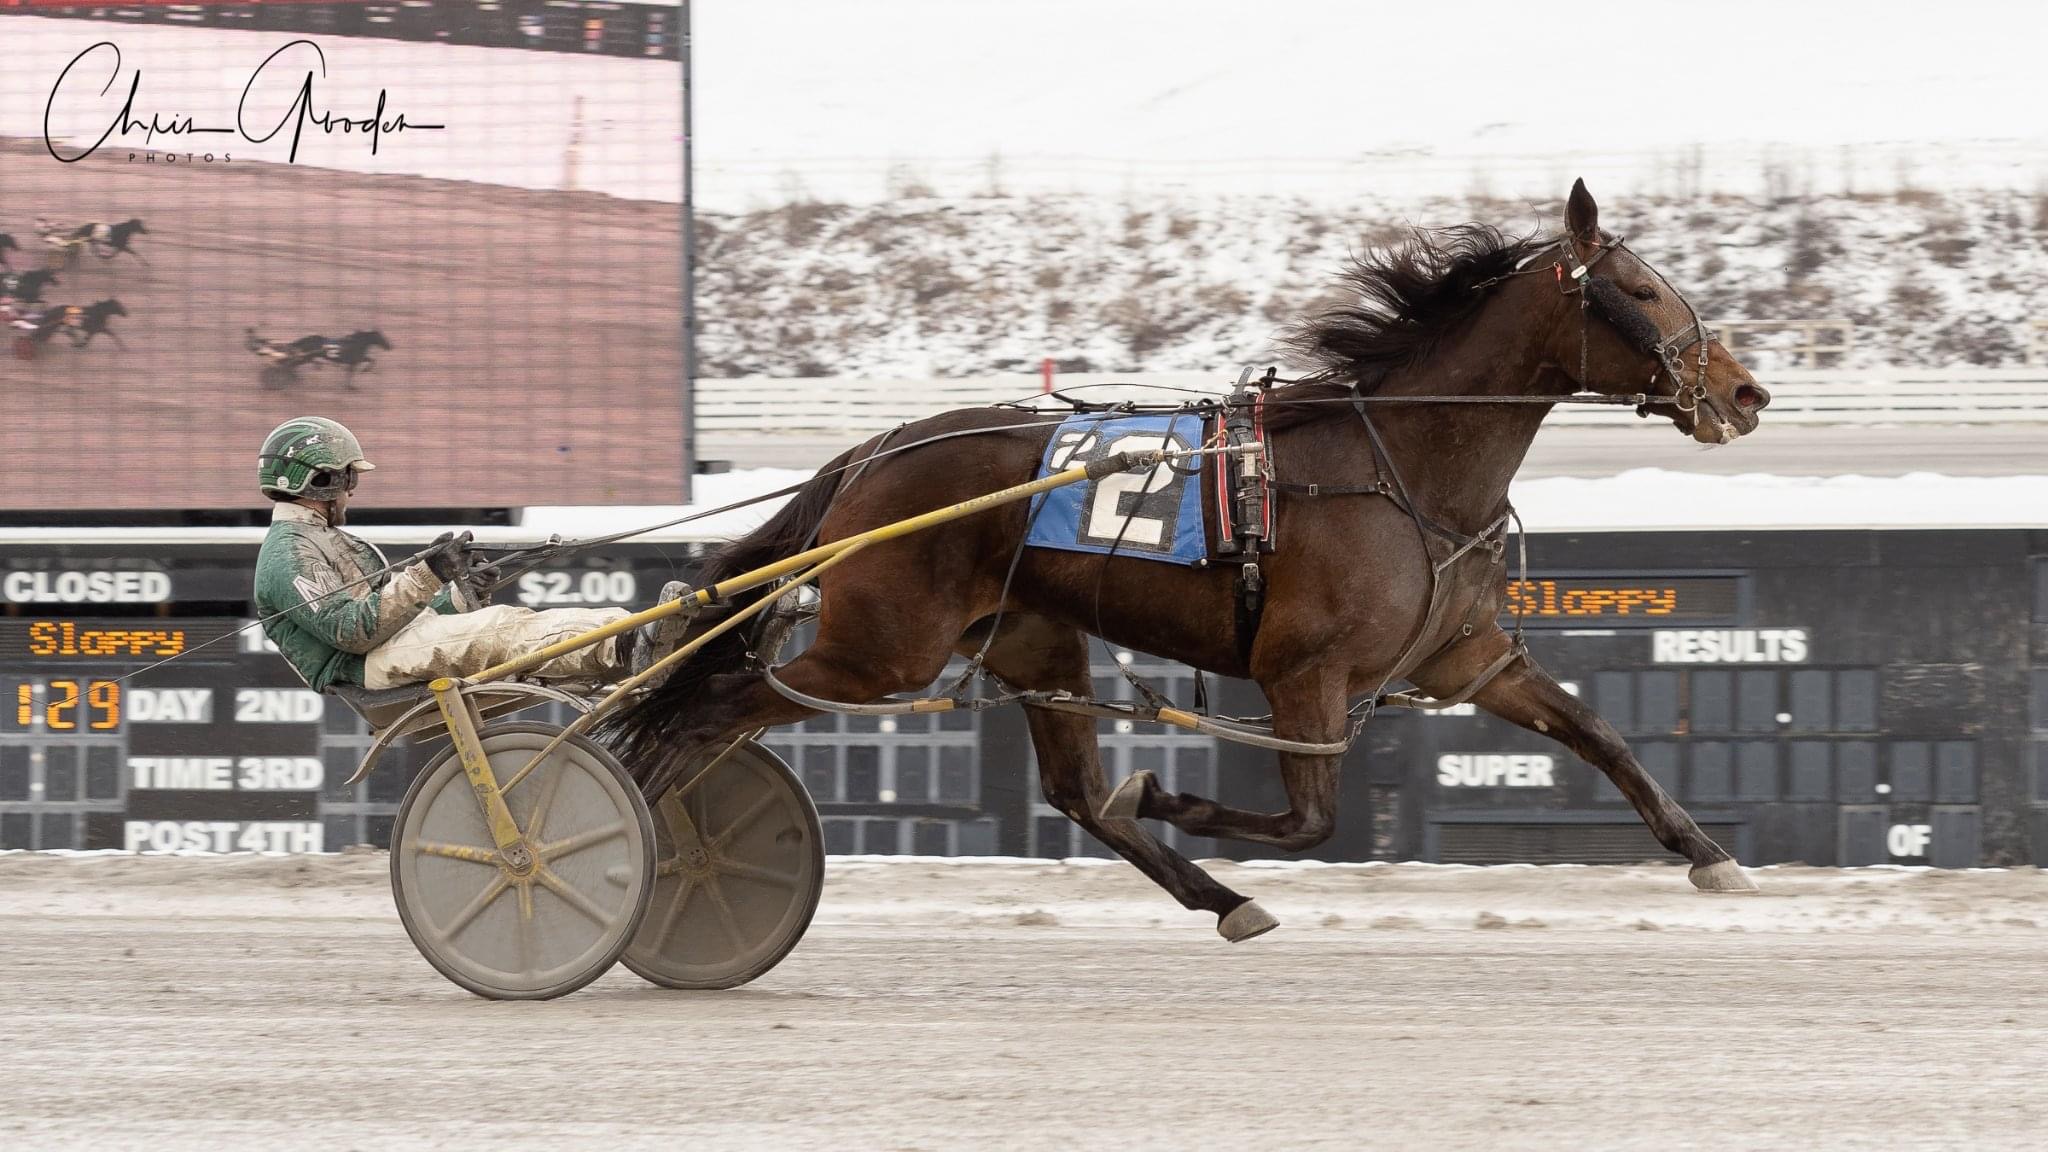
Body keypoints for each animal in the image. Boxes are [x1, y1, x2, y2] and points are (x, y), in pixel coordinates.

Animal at [602, 179, 1773, 940]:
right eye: (1641, 290)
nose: (1745, 390)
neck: (1399, 466)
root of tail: (874, 451)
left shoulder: (1465, 656)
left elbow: (1598, 734)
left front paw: (1711, 858)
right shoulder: (1304, 673)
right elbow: (1309, 818)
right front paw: (1163, 792)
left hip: (1028, 638)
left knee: (1071, 791)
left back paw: (1222, 898)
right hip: (878, 651)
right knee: (702, 710)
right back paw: (630, 845)